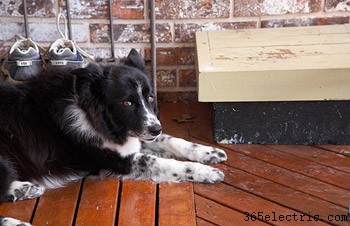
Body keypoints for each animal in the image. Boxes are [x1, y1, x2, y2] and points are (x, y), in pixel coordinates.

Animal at [0, 49, 227, 226]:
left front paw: (209, 153)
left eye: (150, 97)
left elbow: (173, 141)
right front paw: (207, 172)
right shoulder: (118, 160)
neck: (90, 112)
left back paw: (23, 190)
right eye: (127, 103)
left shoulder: (136, 136)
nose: (157, 128)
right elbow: (163, 163)